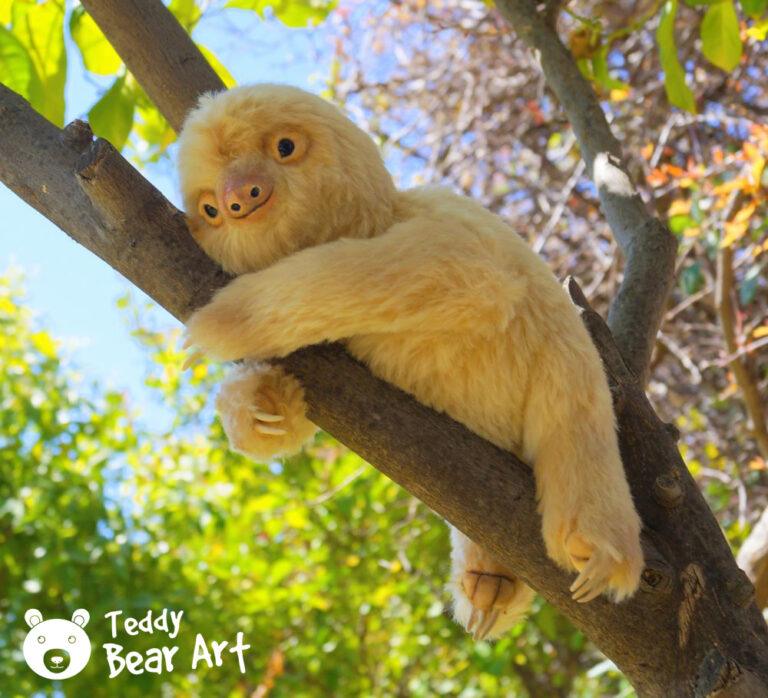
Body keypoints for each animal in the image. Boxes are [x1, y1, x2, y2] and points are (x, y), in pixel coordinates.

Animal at [177, 83, 644, 640]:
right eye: (210, 210)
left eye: (285, 147)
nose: (239, 200)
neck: (377, 217)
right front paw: (261, 408)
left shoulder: (456, 242)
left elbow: (421, 270)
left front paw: (221, 323)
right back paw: (490, 583)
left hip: (571, 375)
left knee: (574, 435)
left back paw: (595, 550)